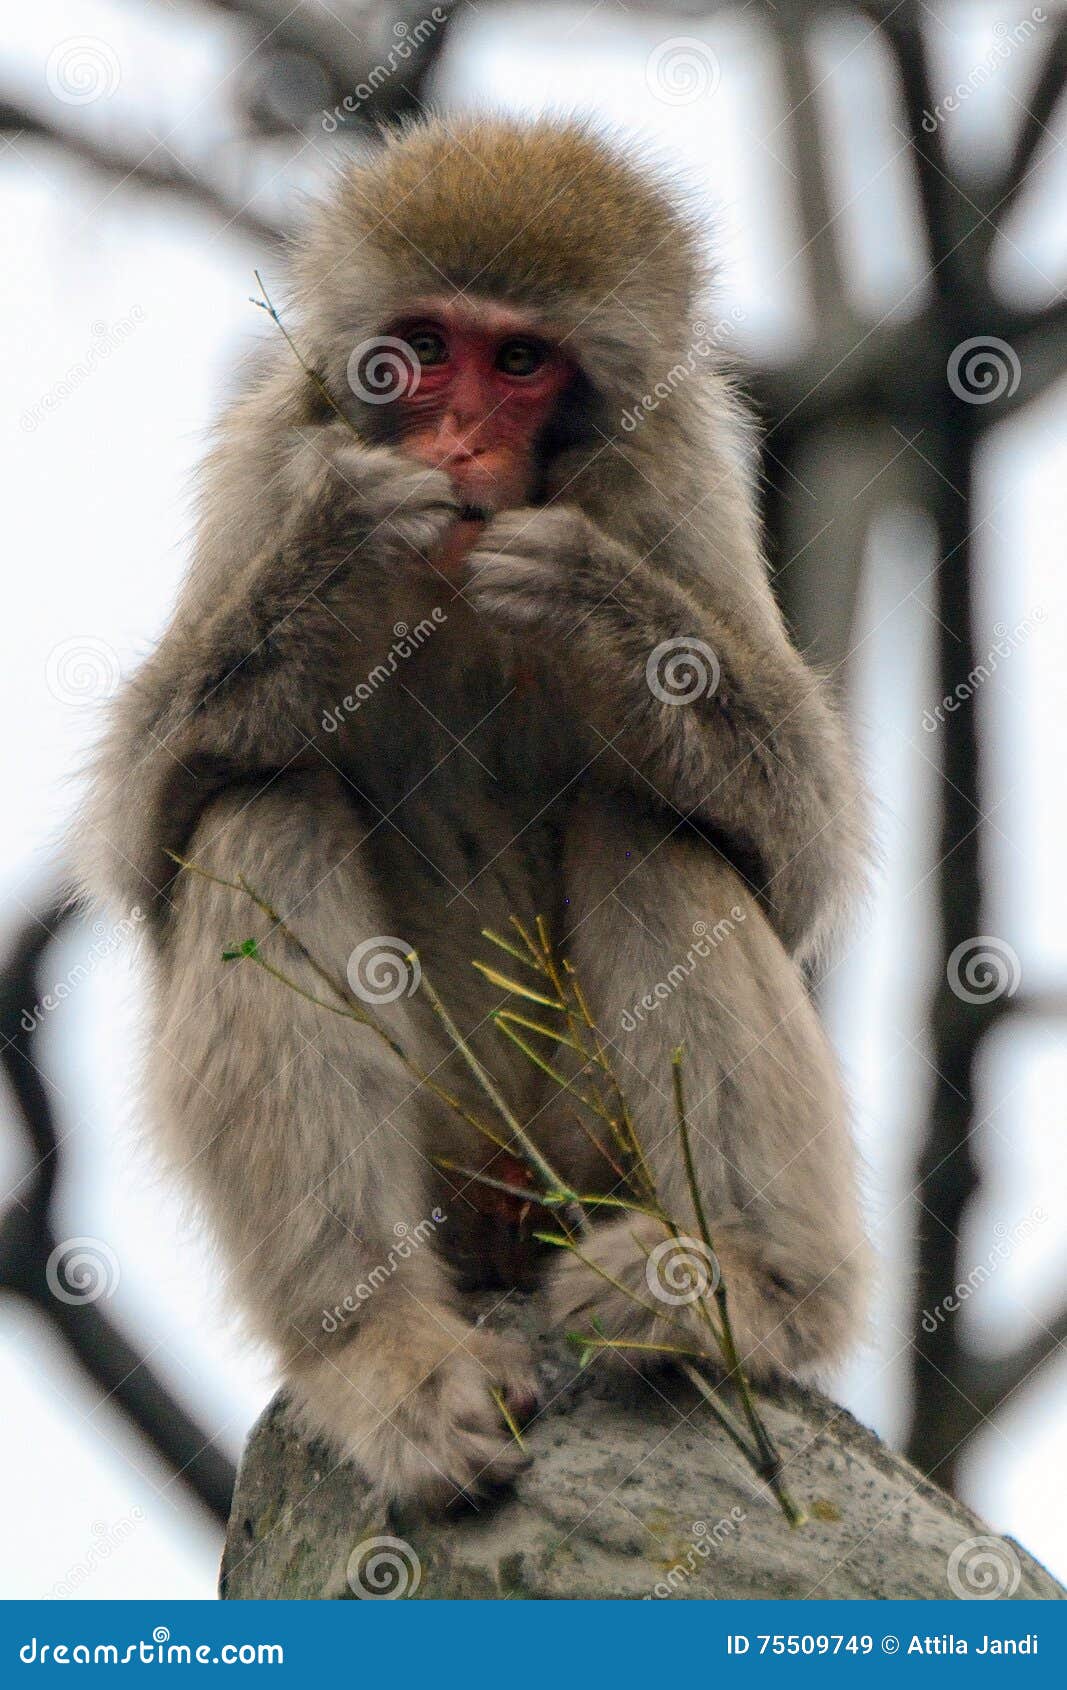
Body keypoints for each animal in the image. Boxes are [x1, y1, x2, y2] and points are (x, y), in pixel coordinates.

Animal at [78, 116, 870, 1511]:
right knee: (254, 809)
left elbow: (801, 844)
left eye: (517, 361)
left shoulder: (676, 475)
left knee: (652, 824)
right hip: (448, 1155)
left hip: (584, 1142)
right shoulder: (271, 454)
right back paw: (380, 1349)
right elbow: (143, 820)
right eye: (421, 350)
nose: (451, 447)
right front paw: (342, 557)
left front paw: (588, 596)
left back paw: (745, 1287)